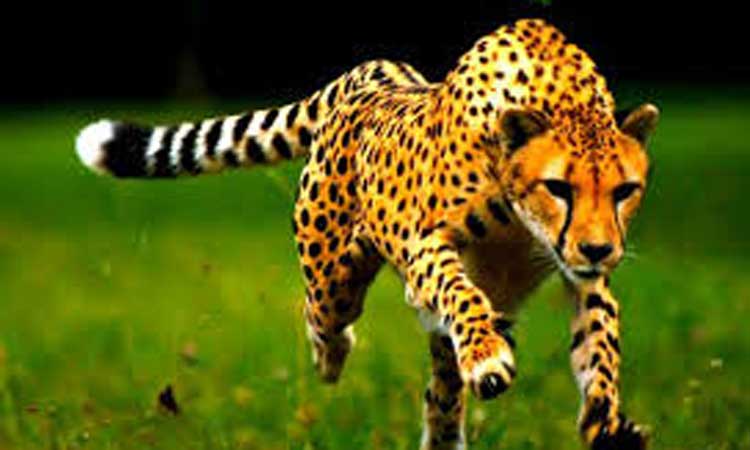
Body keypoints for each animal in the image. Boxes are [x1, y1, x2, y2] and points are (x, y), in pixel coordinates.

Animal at [75, 18, 659, 450]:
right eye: (558, 187)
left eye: (624, 191)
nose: (598, 248)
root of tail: (371, 72)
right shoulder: (428, 246)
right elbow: (460, 294)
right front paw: (486, 354)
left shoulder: (584, 277)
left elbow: (600, 343)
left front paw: (607, 421)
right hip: (330, 272)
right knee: (326, 315)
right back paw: (337, 353)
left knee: (441, 386)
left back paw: (445, 432)